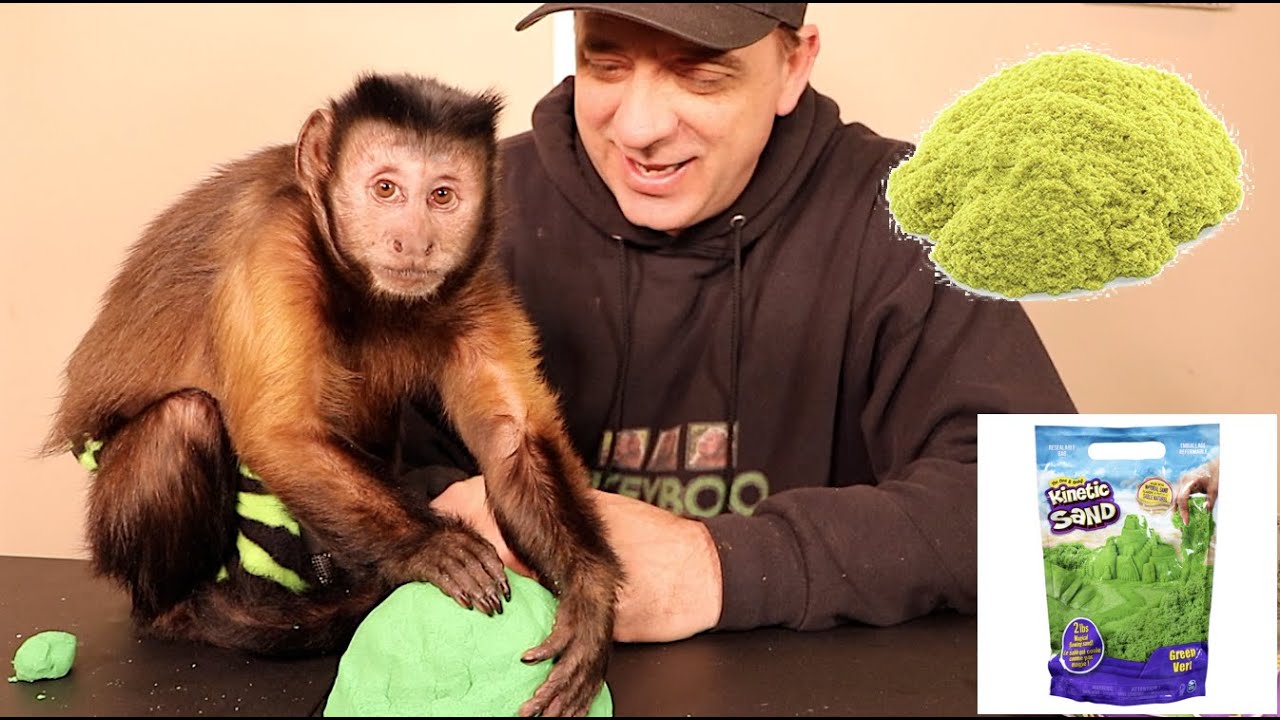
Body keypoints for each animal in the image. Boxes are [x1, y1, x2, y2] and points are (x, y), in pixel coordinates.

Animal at [42, 73, 622, 718]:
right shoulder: (274, 247)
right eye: (386, 188)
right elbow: (280, 434)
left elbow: (511, 440)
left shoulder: (474, 283)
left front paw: (591, 597)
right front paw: (432, 546)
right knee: (184, 420)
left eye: (442, 196)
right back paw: (174, 612)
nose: (412, 242)